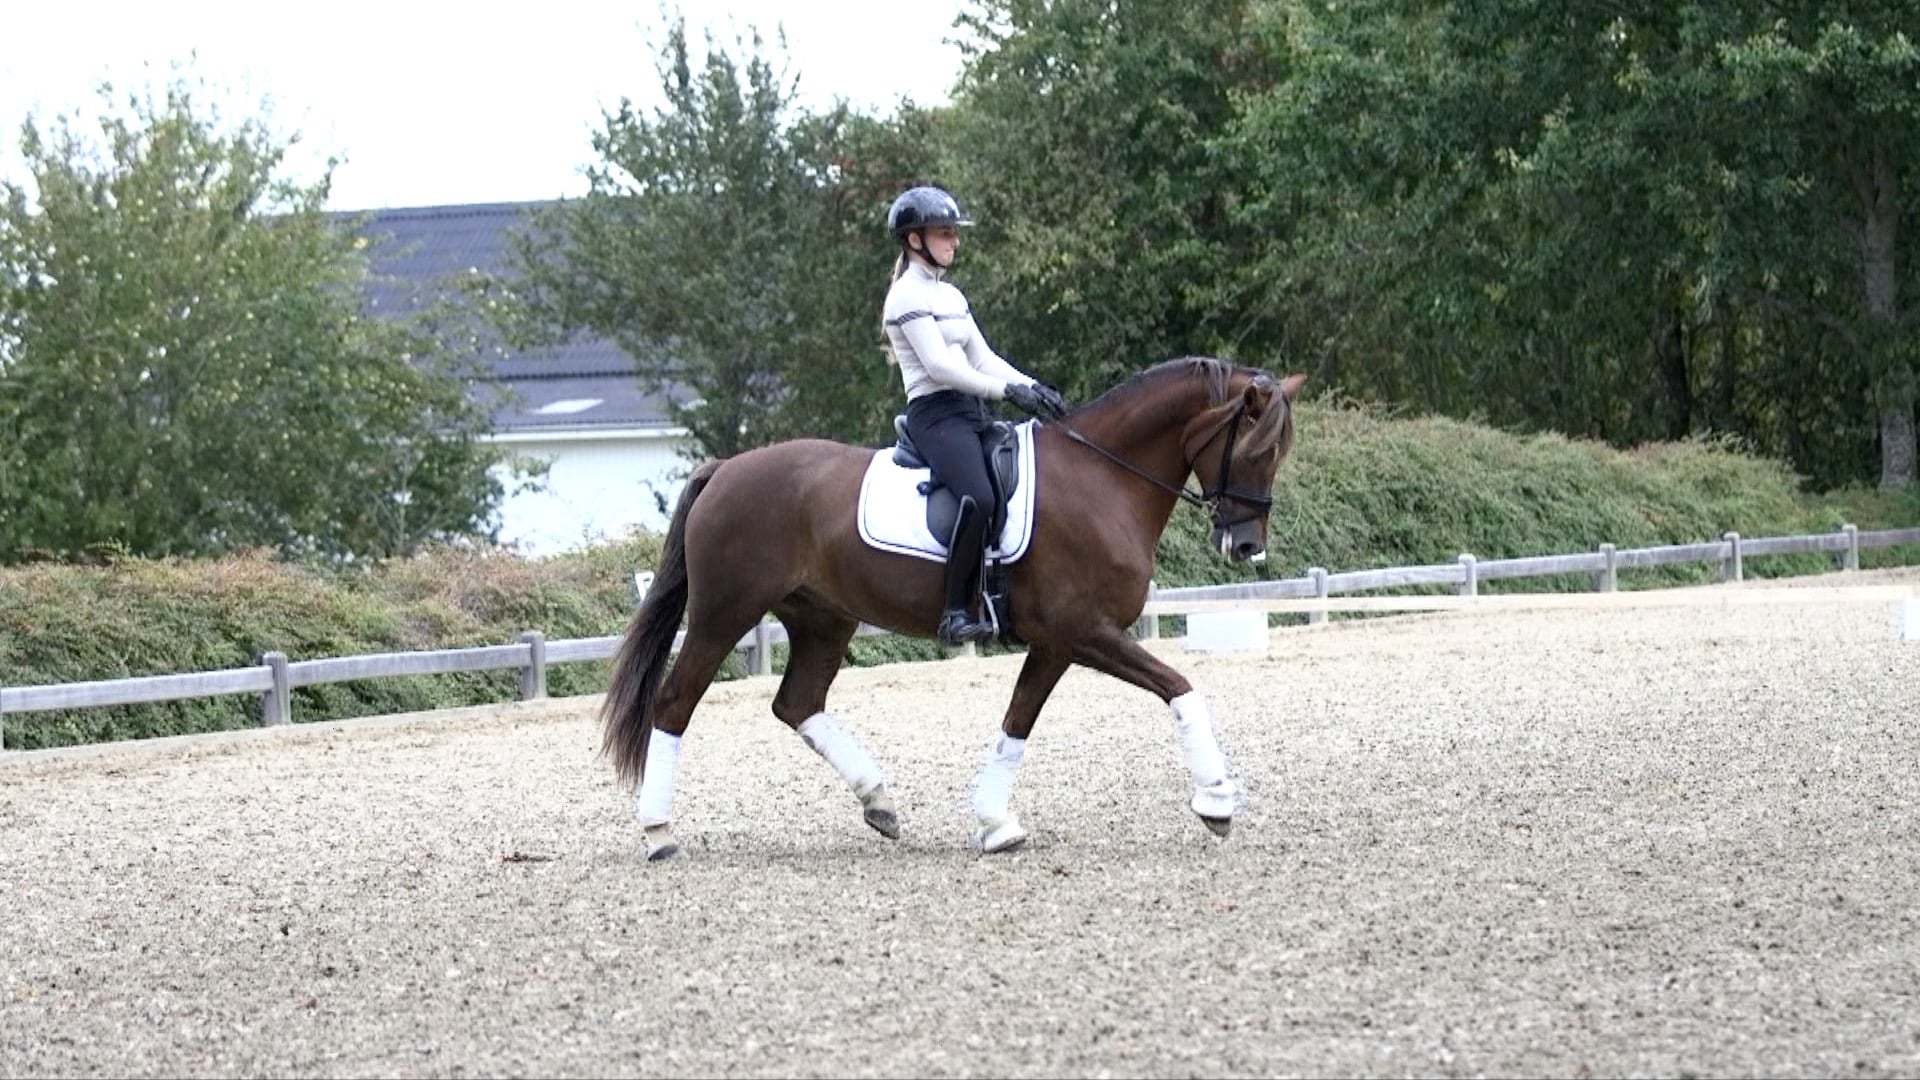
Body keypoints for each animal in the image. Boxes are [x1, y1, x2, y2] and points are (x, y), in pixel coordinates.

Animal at [601, 356, 1308, 858]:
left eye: (1280, 453)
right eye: (1255, 450)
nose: (1246, 545)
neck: (1103, 479)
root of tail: (723, 469)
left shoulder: (1057, 642)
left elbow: (1017, 722)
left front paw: (996, 823)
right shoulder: (1086, 631)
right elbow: (1181, 688)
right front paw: (1217, 803)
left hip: (824, 617)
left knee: (797, 703)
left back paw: (879, 803)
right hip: (726, 612)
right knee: (675, 704)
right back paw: (659, 832)